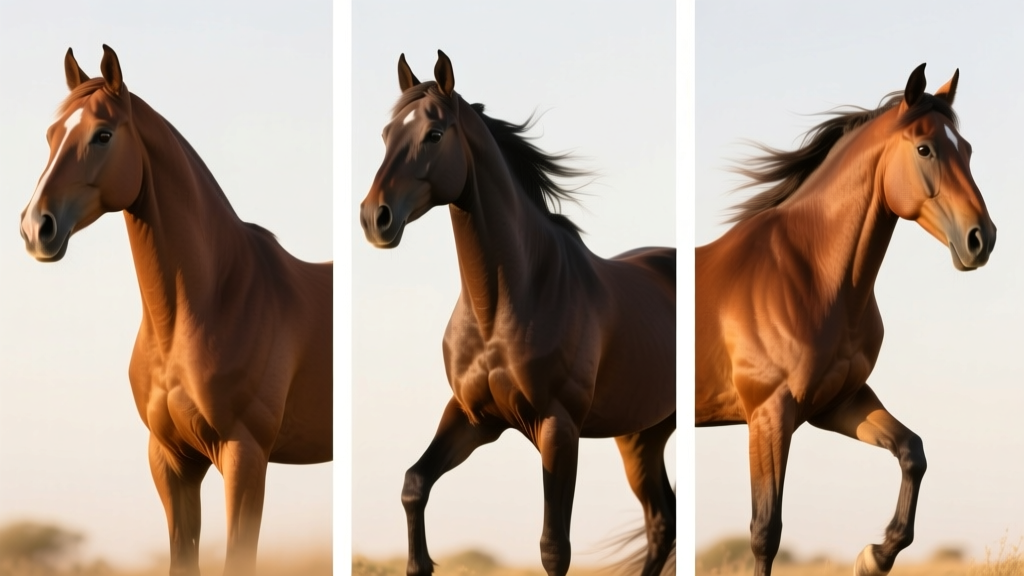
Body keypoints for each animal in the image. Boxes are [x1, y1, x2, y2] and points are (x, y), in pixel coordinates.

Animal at [359, 51, 676, 576]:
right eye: (386, 135)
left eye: (434, 134)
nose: (373, 218)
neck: (504, 306)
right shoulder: (472, 417)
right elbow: (414, 484)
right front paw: (420, 562)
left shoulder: (558, 427)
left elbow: (554, 547)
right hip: (640, 437)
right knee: (661, 520)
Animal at [696, 64, 996, 576]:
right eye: (925, 148)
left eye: (968, 149)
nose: (982, 238)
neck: (810, 277)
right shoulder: (769, 416)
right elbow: (765, 531)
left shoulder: (838, 404)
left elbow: (912, 452)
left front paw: (875, 555)